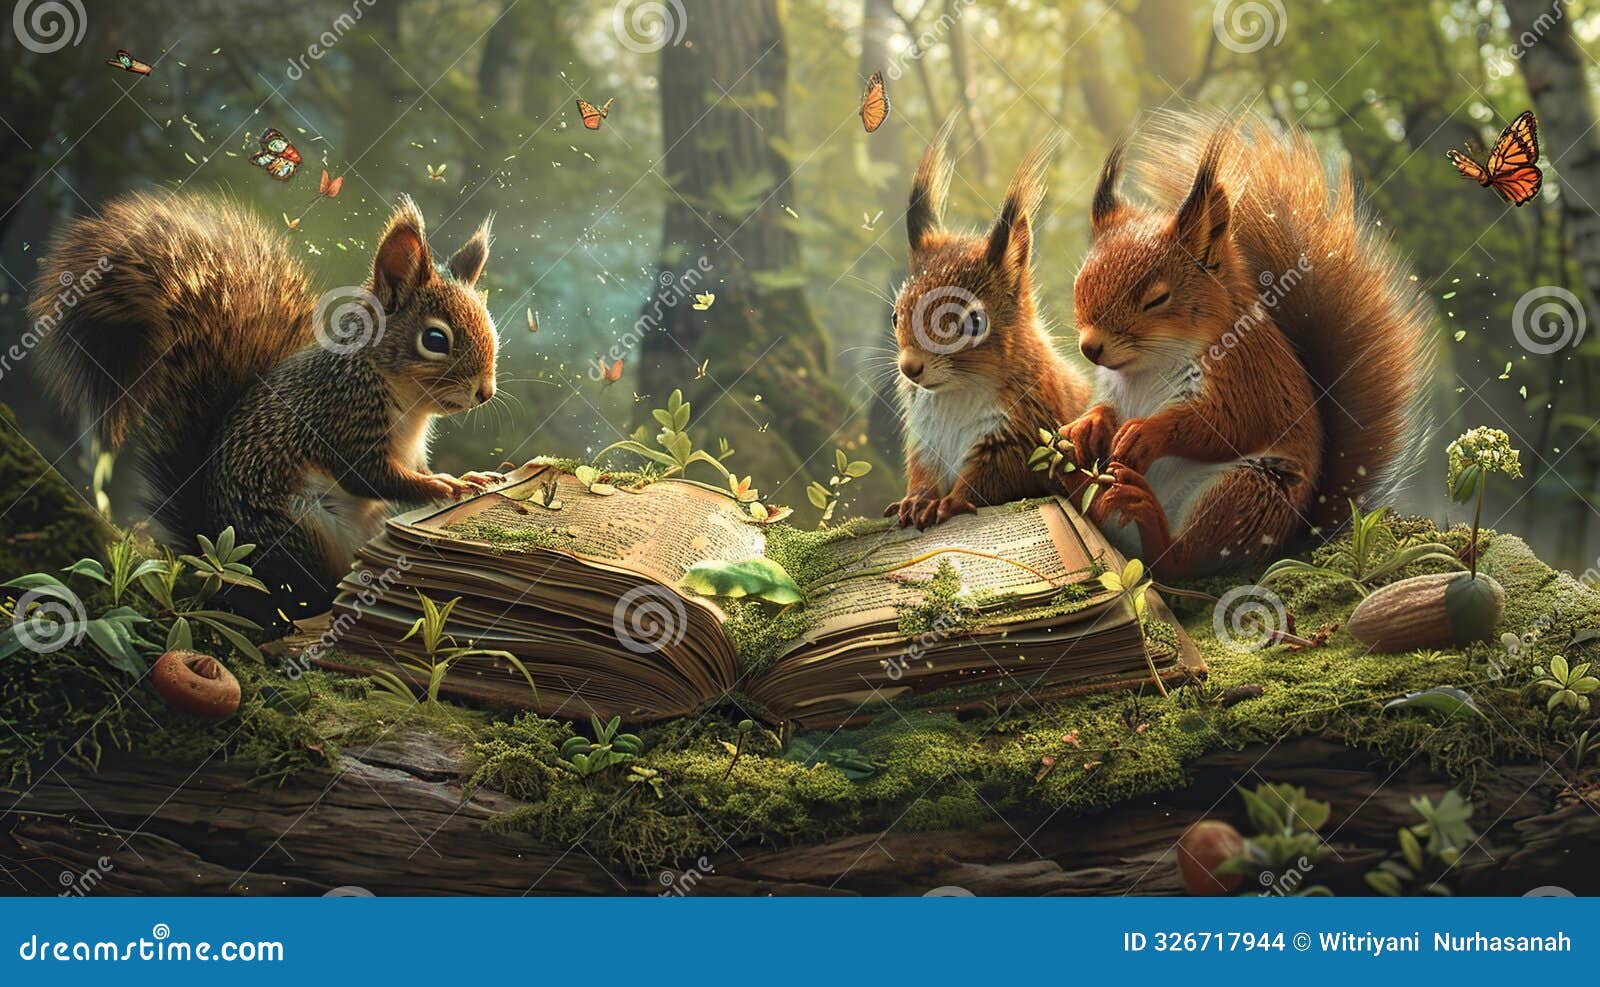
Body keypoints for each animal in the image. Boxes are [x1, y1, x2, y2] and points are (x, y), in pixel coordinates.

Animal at [29, 192, 503, 616]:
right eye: (435, 339)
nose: (486, 393)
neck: (399, 394)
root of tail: (221, 563)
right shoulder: (340, 418)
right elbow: (371, 476)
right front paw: (443, 486)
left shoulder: (408, 445)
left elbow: (411, 468)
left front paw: (470, 476)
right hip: (301, 534)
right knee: (307, 598)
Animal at [885, 121, 1091, 528]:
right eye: (896, 315)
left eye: (974, 322)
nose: (910, 368)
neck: (956, 393)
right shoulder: (925, 439)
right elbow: (922, 472)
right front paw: (915, 500)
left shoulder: (1019, 435)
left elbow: (991, 479)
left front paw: (949, 503)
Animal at [1062, 111, 1433, 579]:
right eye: (1079, 281)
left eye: (1156, 298)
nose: (1090, 348)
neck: (1147, 365)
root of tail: (1288, 539)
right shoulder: (1113, 386)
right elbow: (1105, 408)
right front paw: (1084, 426)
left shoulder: (1247, 376)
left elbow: (1229, 424)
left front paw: (1147, 433)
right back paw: (1077, 482)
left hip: (1244, 492)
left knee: (1176, 562)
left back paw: (1142, 508)